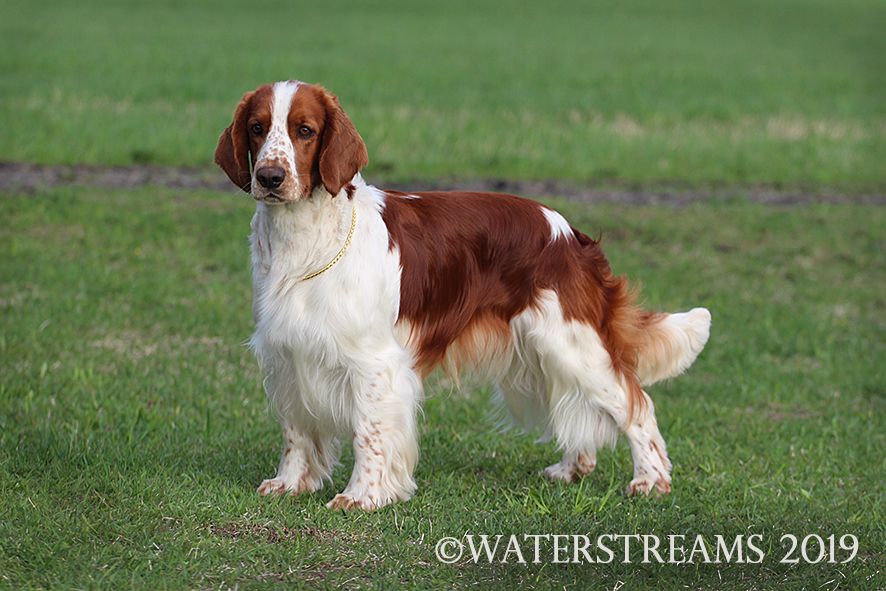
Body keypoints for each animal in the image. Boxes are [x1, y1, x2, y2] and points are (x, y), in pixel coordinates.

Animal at [215, 81, 716, 512]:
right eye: (257, 127)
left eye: (305, 130)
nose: (270, 177)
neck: (306, 239)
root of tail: (571, 234)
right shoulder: (288, 352)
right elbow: (296, 432)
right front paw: (289, 483)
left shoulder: (373, 362)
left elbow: (368, 433)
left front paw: (362, 496)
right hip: (546, 350)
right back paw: (570, 469)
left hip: (573, 343)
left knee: (637, 405)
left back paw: (651, 480)